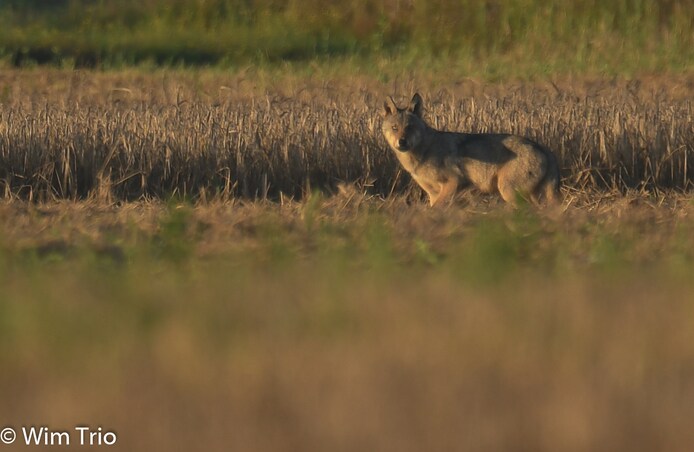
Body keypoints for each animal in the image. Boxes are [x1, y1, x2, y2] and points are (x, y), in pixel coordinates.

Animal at [381, 93, 561, 207]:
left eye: (409, 127)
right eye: (395, 128)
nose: (402, 141)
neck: (424, 152)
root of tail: (544, 149)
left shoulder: (453, 182)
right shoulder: (433, 193)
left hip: (508, 191)